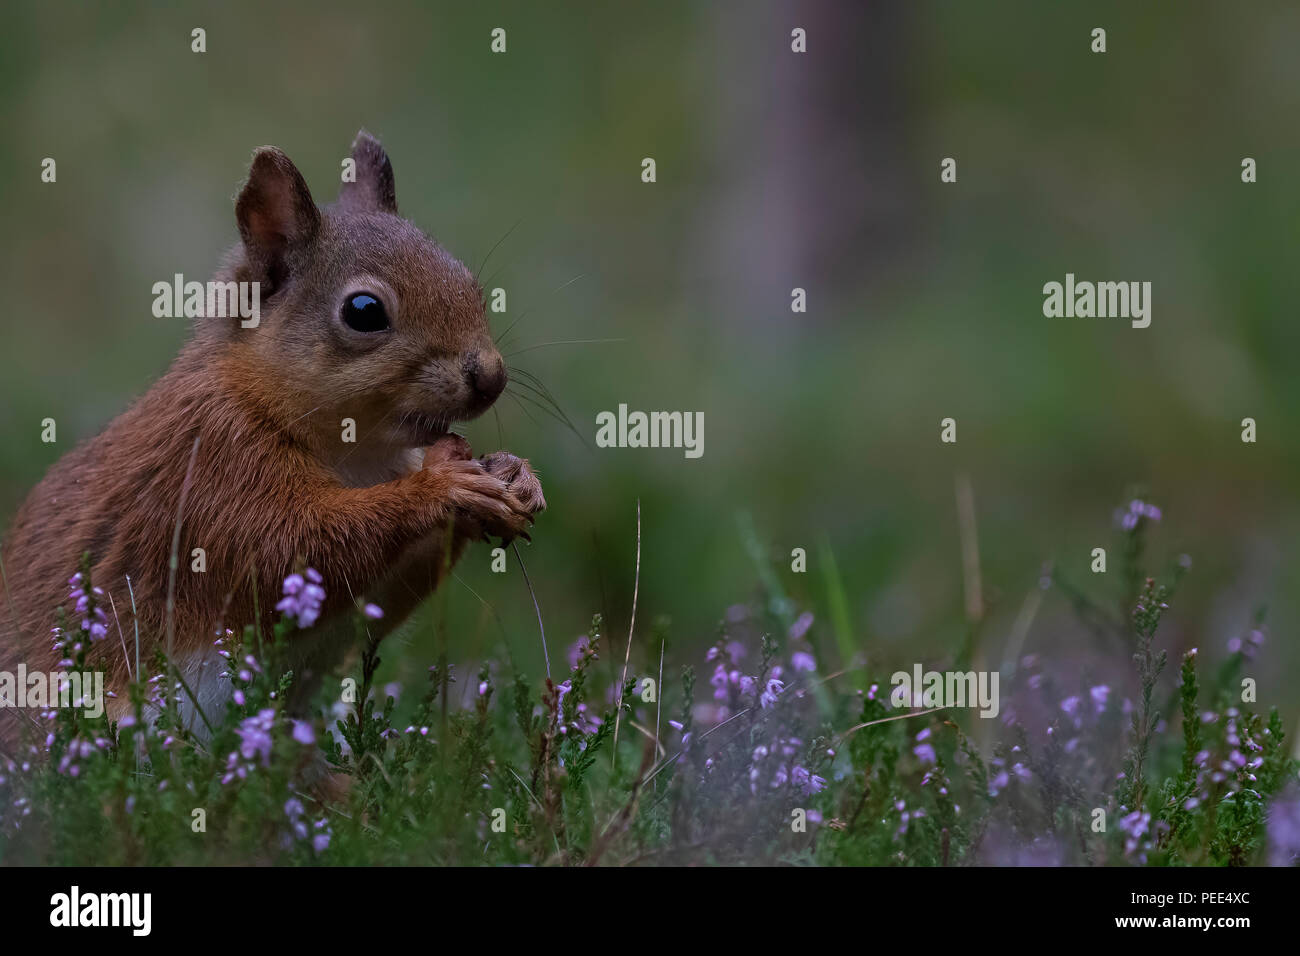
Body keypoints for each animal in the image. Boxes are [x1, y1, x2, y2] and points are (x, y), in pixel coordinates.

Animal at [0, 131, 545, 749]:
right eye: (364, 311)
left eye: (469, 281)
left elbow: (381, 593)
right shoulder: (211, 469)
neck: (357, 453)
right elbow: (290, 547)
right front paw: (444, 485)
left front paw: (514, 476)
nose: (491, 377)